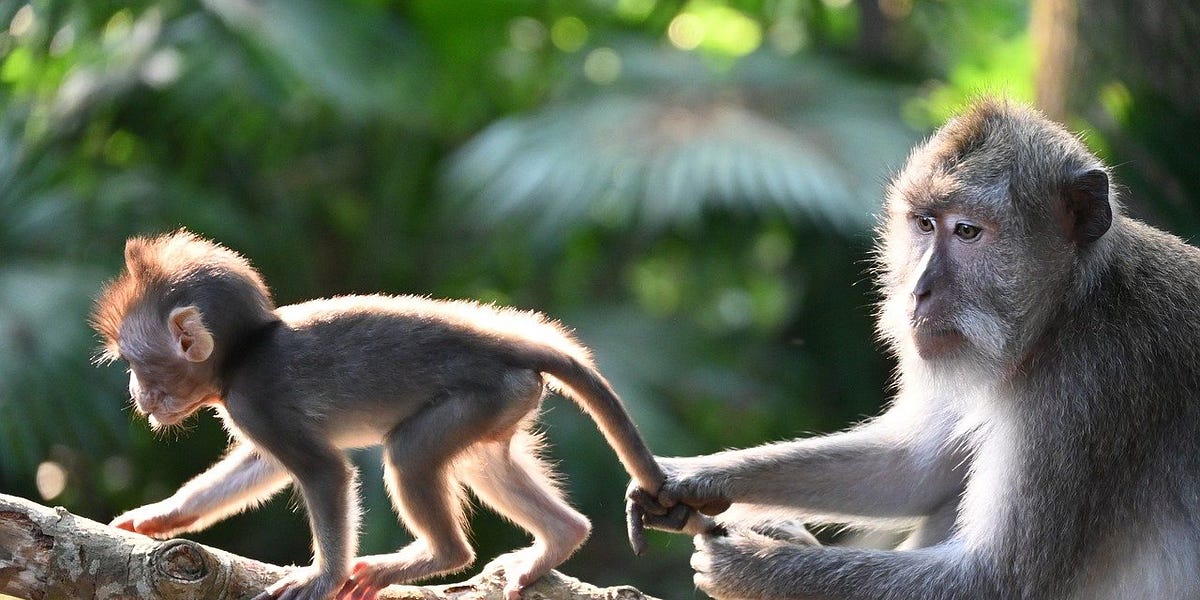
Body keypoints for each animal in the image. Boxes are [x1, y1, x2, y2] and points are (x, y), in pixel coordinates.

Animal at [91, 230, 668, 600]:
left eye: (137, 365)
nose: (137, 393)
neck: (241, 354)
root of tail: (503, 343)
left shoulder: (255, 400)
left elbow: (323, 471)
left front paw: (323, 578)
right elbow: (264, 466)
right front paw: (161, 515)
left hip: (478, 397)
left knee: (410, 454)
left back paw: (440, 556)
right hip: (506, 398)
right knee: (484, 462)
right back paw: (561, 537)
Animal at [627, 98, 1200, 599]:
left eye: (967, 231)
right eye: (924, 224)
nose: (918, 290)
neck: (1065, 313)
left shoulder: (1092, 389)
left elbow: (995, 581)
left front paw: (752, 567)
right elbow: (912, 469)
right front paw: (690, 477)